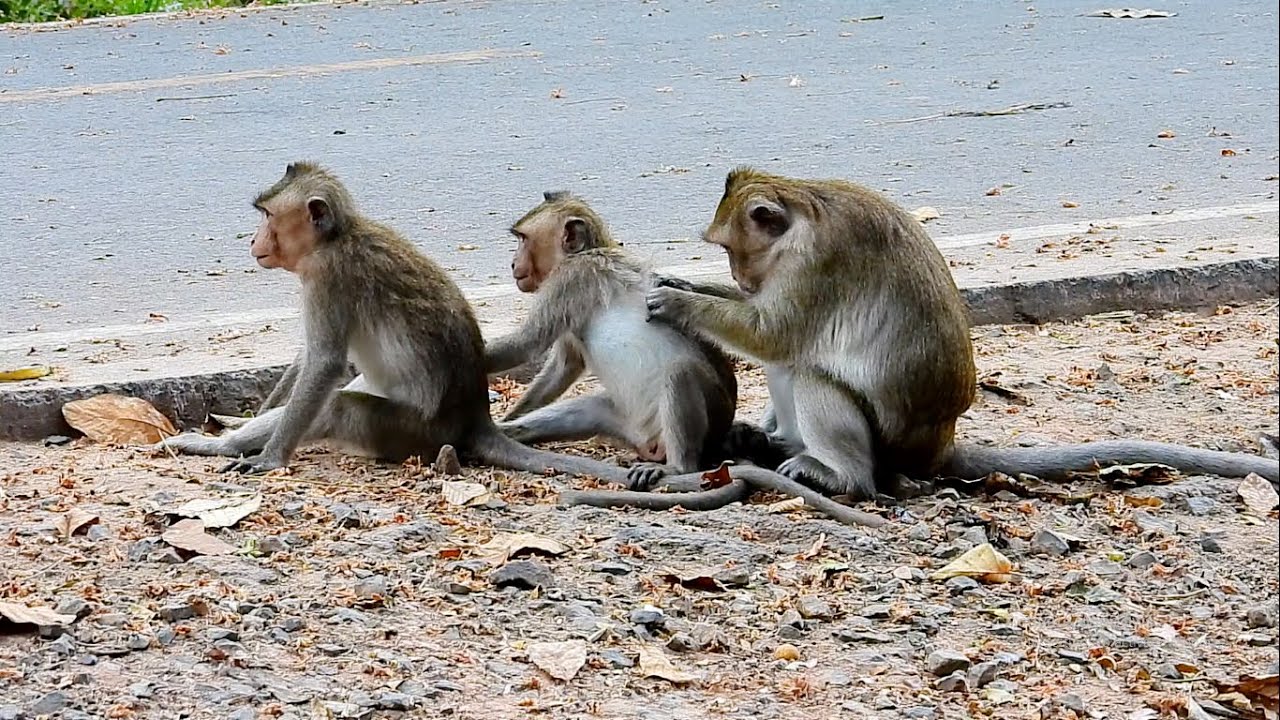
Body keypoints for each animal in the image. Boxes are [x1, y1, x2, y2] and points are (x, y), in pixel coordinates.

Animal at [154, 162, 639, 484]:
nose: (255, 240)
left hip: (404, 431)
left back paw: (221, 445)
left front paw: (268, 458)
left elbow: (324, 363)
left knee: (338, 405)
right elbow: (309, 356)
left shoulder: (330, 276)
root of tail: (474, 419)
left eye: (268, 216)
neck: (337, 237)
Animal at [483, 190, 753, 488]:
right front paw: (508, 418)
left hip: (709, 415)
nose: (512, 262)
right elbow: (565, 366)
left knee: (680, 372)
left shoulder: (571, 278)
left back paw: (678, 468)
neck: (588, 250)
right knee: (585, 411)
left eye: (523, 239)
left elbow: (527, 344)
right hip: (621, 418)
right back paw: (513, 431)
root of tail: (649, 445)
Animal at [619, 166, 1280, 505]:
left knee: (806, 368)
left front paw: (678, 301)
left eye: (731, 247)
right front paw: (684, 282)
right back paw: (770, 440)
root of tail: (939, 447)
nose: (734, 275)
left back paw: (838, 475)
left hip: (889, 447)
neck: (804, 213)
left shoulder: (814, 265)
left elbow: (772, 332)